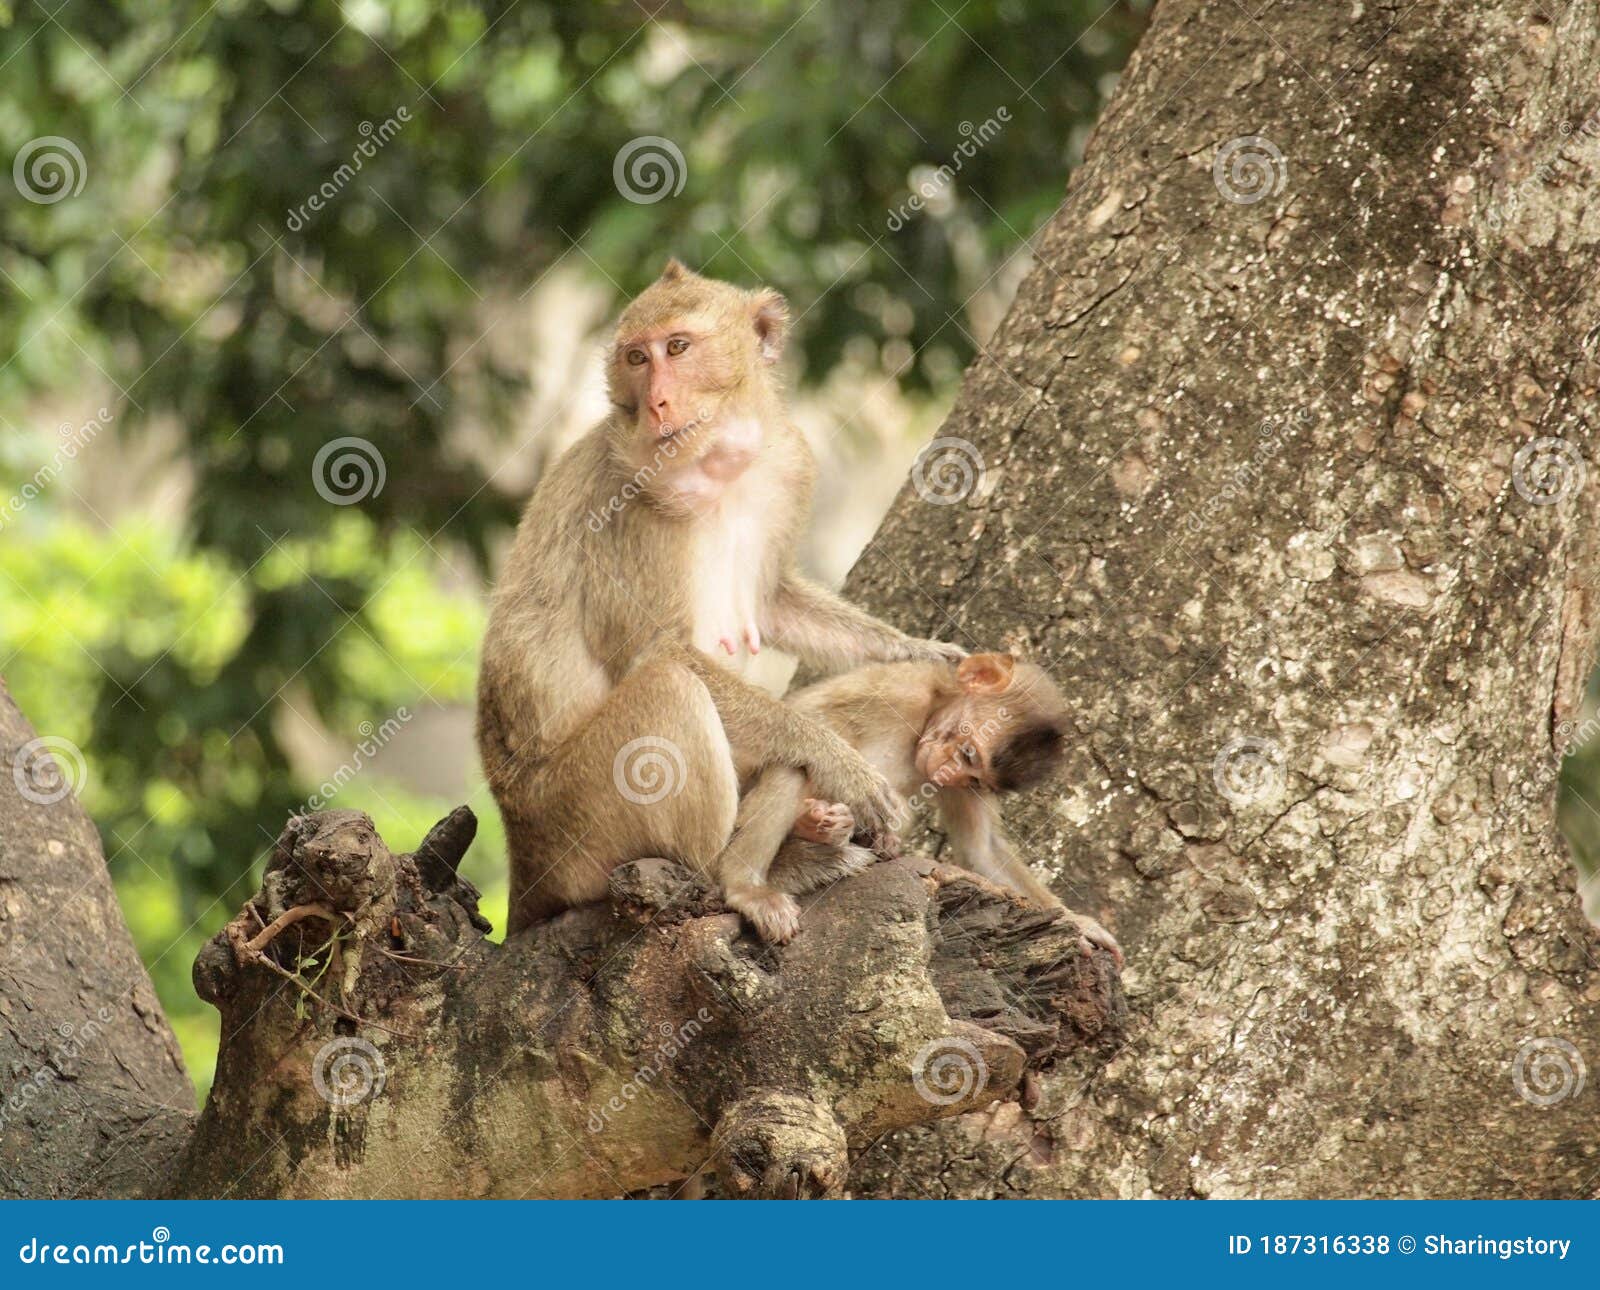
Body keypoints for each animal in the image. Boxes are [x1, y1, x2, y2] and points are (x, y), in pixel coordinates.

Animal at [477, 259, 964, 935]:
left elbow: (773, 601)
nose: (657, 401)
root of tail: (523, 863)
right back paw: (742, 876)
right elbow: (660, 653)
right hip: (574, 819)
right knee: (669, 691)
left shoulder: (790, 462)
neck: (716, 464)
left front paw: (922, 653)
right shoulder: (627, 501)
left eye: (677, 348)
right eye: (637, 357)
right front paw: (835, 758)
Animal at [712, 651, 1122, 963]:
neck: (930, 710)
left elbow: (981, 849)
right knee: (796, 761)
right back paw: (751, 885)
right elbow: (811, 723)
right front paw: (849, 783)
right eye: (968, 752)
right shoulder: (901, 688)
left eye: (974, 778)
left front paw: (1078, 923)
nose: (947, 772)